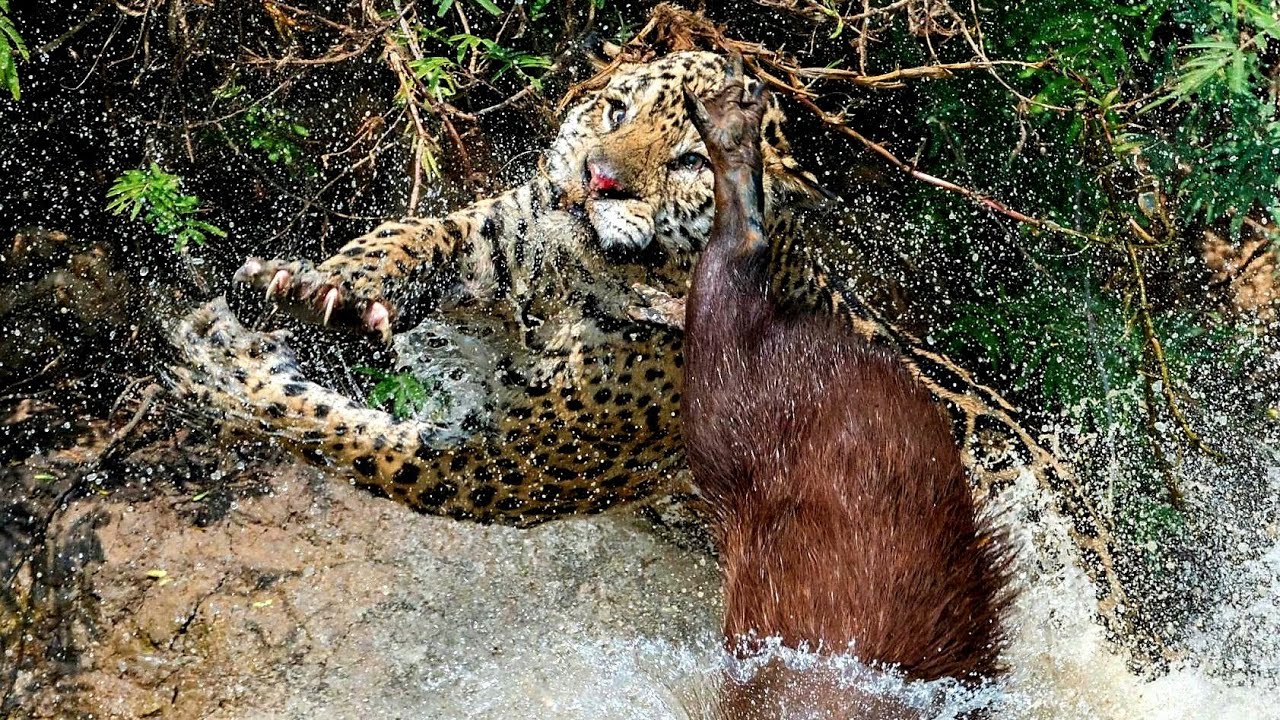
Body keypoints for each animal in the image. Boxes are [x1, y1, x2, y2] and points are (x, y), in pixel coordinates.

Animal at [169, 50, 1149, 657]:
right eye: (611, 110)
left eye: (685, 160)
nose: (594, 179)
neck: (577, 279)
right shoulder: (500, 238)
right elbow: (414, 233)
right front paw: (317, 284)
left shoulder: (514, 466)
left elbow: (353, 441)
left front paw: (223, 368)